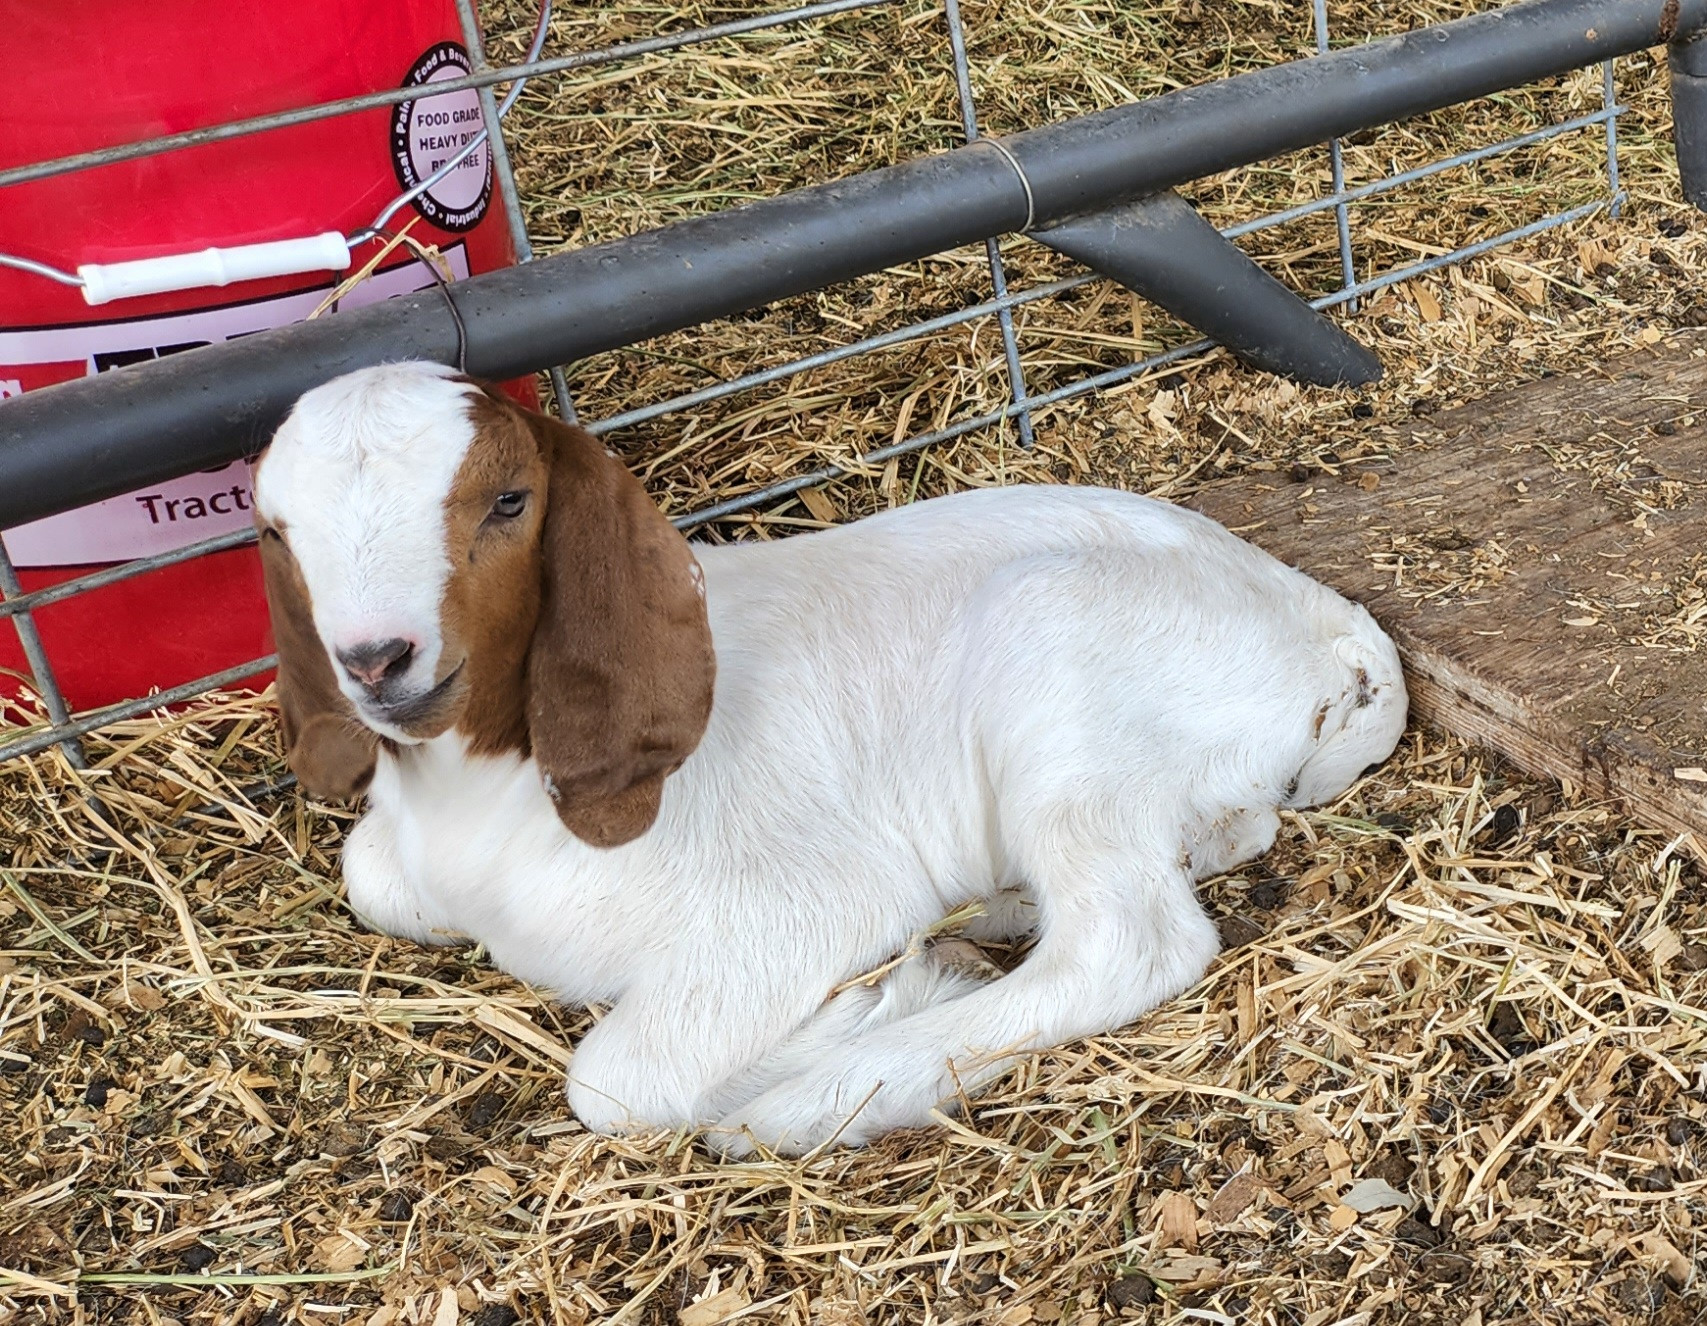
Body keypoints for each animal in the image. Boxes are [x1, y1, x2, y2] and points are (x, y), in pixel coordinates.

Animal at [252, 361, 1406, 1155]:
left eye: (507, 500)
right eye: (274, 530)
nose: (377, 661)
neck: (490, 803)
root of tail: (1318, 616)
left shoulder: (803, 905)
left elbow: (615, 1079)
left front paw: (879, 999)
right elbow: (368, 873)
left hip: (1053, 655)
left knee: (1130, 940)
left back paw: (813, 1100)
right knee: (1218, 836)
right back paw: (1003, 908)